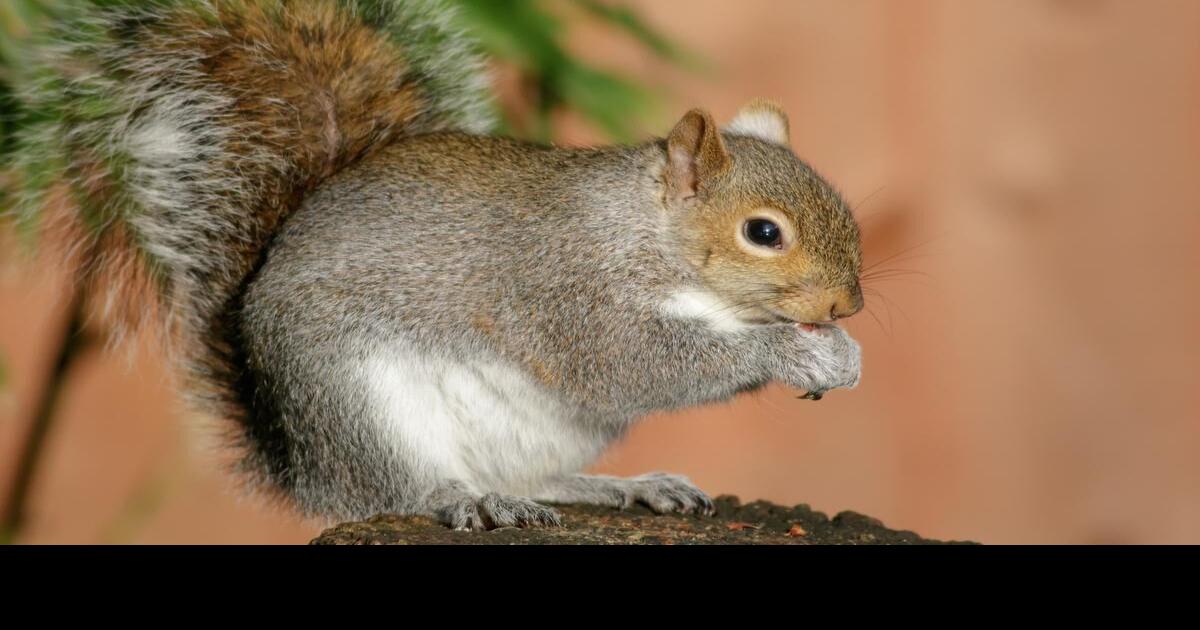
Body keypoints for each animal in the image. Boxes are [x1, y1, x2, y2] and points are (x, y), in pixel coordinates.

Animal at [11, 0, 864, 530]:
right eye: (763, 232)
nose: (846, 307)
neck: (646, 235)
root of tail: (311, 469)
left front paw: (843, 355)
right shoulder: (569, 295)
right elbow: (634, 364)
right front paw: (786, 351)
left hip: (543, 436)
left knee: (536, 479)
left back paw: (625, 487)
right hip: (362, 405)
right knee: (406, 490)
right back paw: (467, 501)